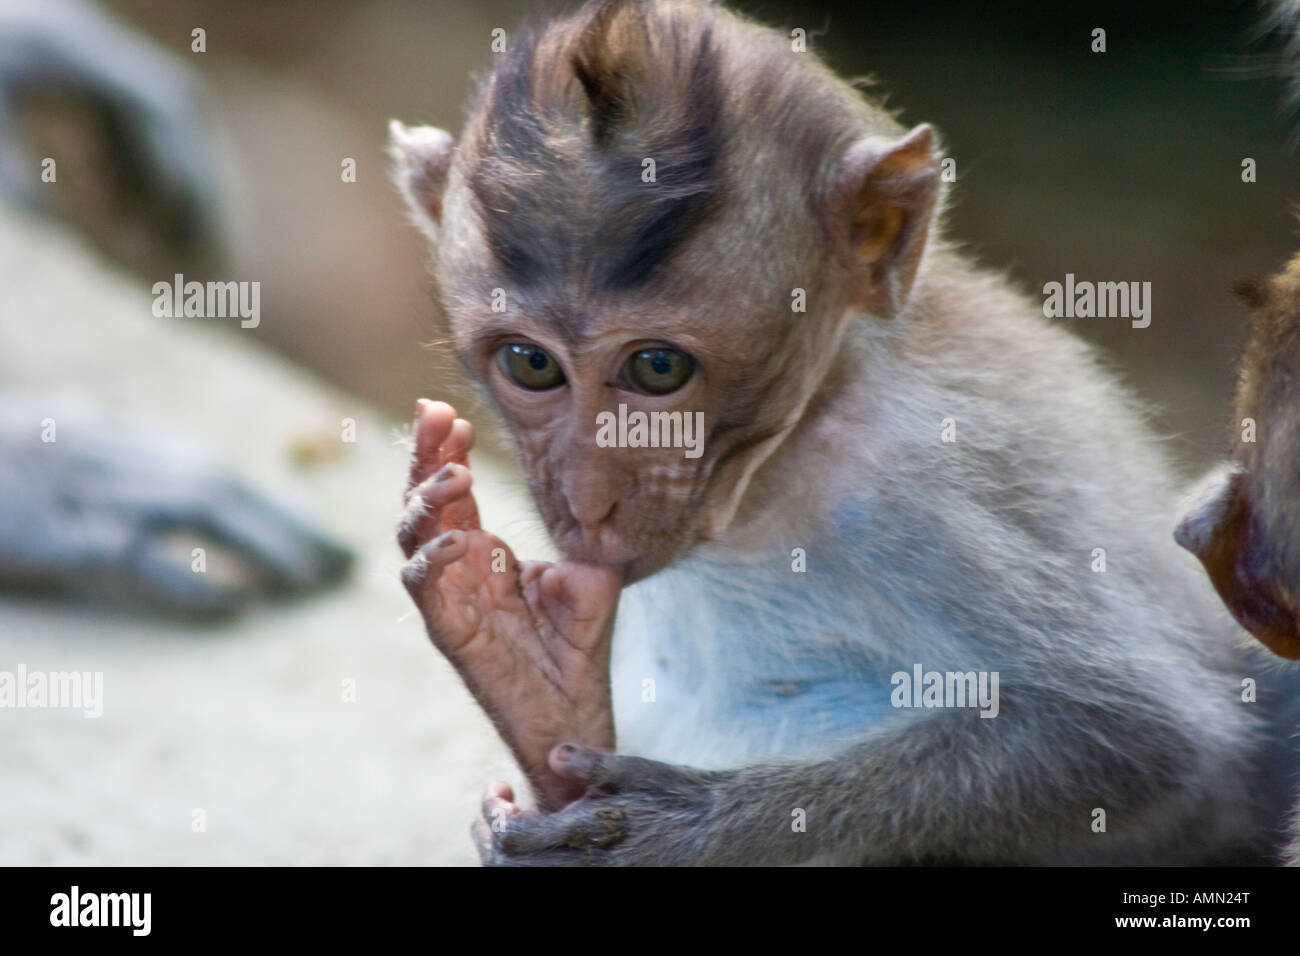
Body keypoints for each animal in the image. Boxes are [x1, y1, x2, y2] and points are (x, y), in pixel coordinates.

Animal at [391, 0, 1300, 864]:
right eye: (531, 363)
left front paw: (687, 826)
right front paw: (522, 663)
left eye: (657, 369)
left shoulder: (927, 480)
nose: (586, 500)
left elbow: (1136, 737)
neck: (779, 462)